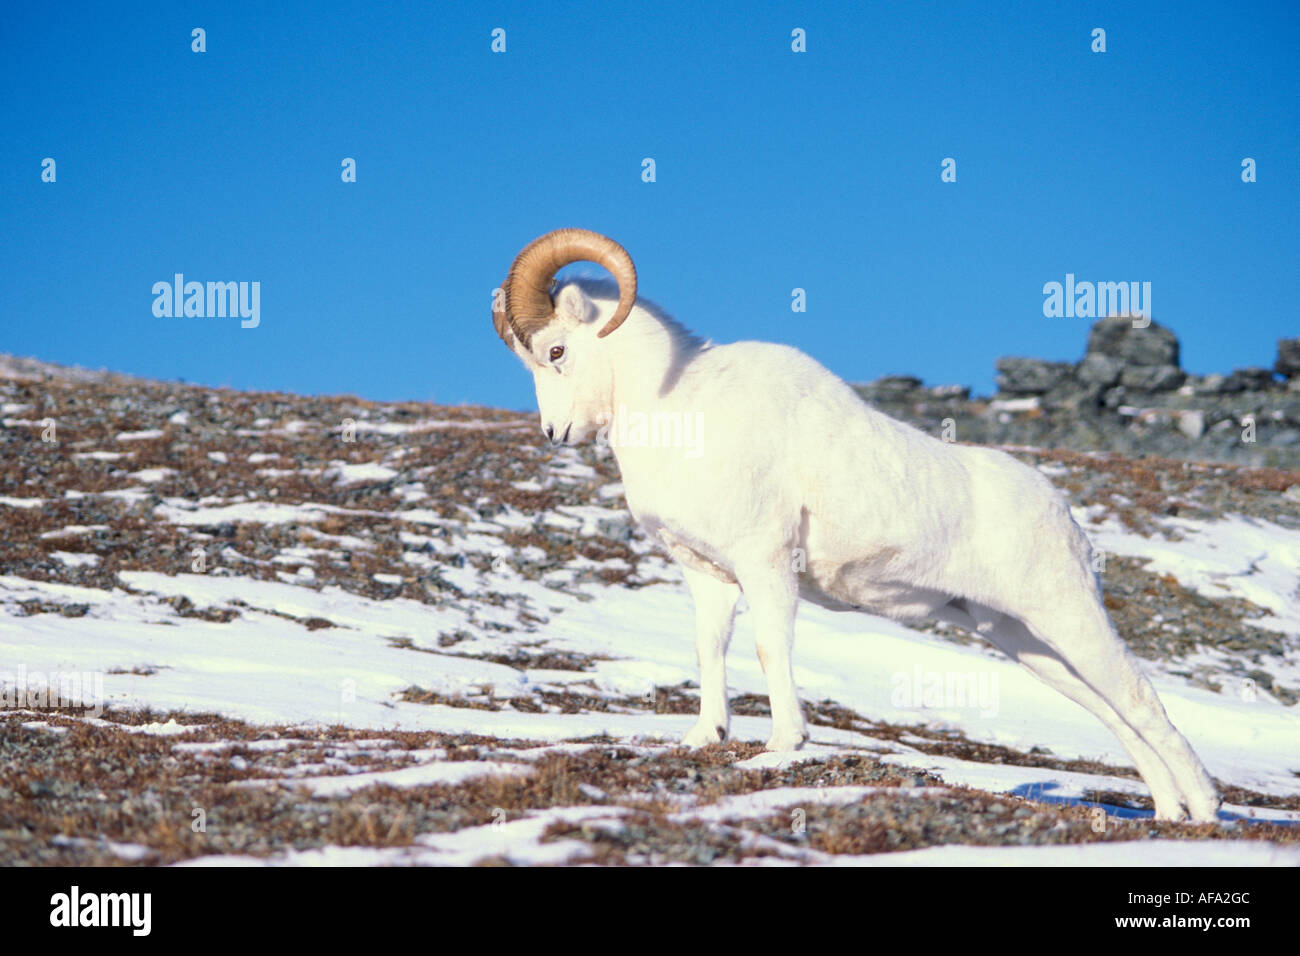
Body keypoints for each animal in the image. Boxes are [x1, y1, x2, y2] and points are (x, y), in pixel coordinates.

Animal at [491, 228, 1221, 823]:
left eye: (556, 351)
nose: (556, 434)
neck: (679, 410)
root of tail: (1060, 513)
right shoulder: (709, 576)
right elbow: (710, 650)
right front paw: (705, 740)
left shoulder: (765, 565)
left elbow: (770, 649)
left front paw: (781, 747)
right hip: (1019, 638)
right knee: (1111, 711)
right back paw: (1167, 812)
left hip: (1066, 614)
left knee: (1138, 696)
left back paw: (1206, 811)